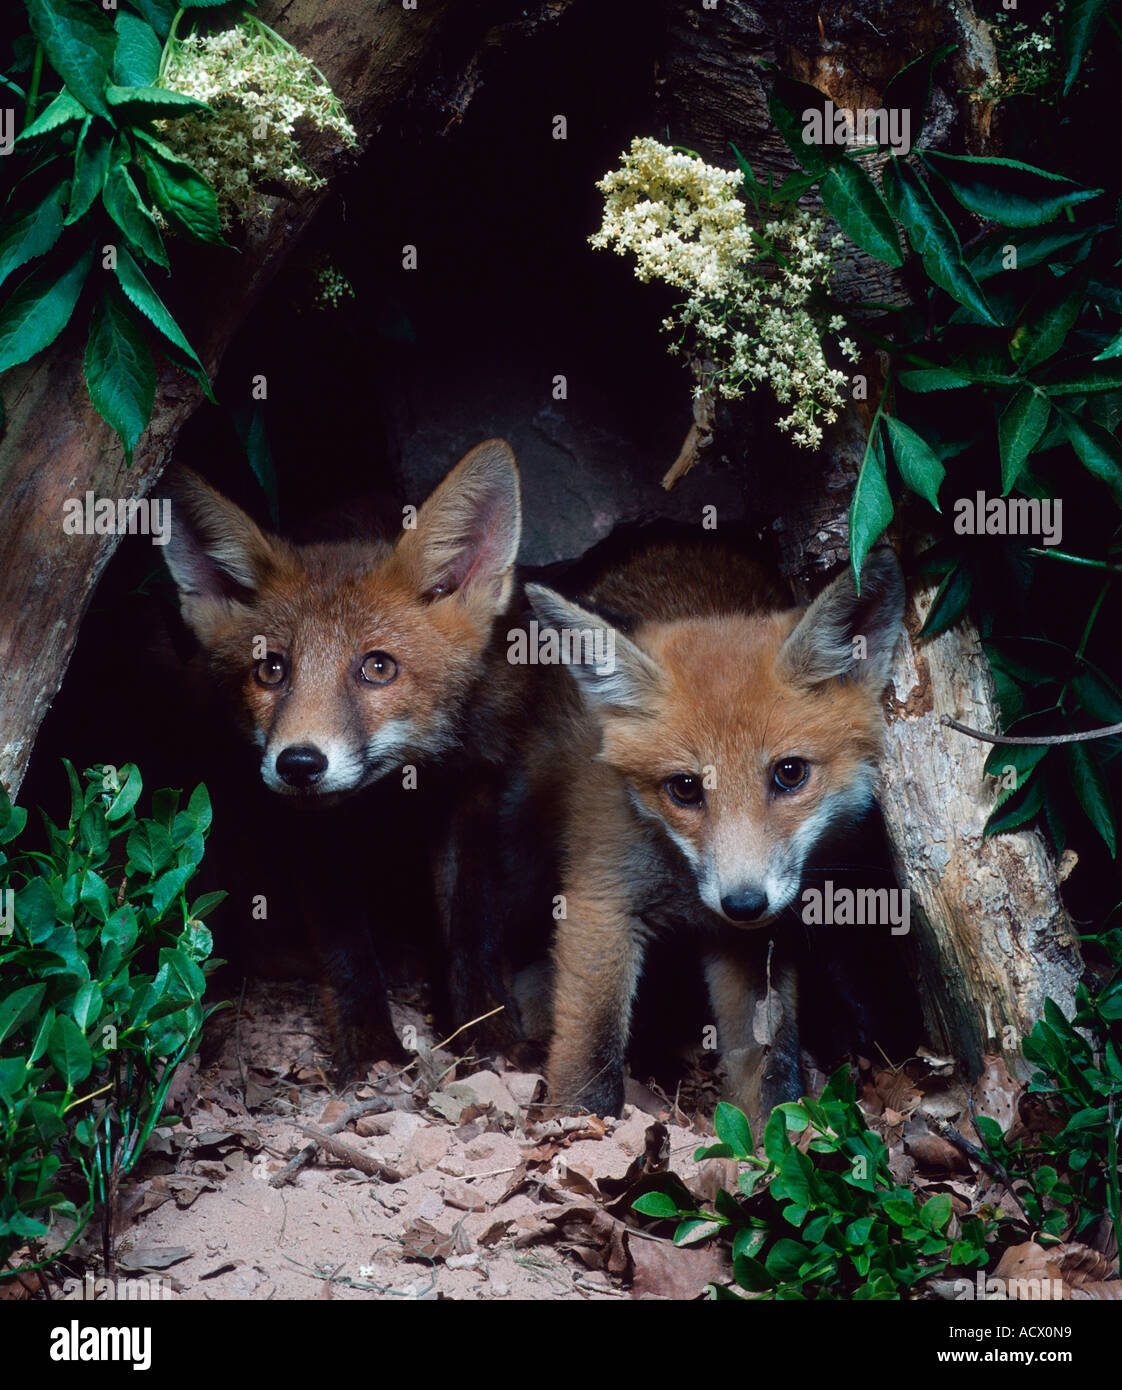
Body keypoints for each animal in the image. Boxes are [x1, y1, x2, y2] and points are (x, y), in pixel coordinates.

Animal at [161, 439, 523, 1077]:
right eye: (271, 670)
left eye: (378, 667)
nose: (299, 764)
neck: (395, 791)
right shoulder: (315, 833)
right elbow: (348, 953)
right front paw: (370, 1051)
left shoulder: (475, 790)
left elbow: (472, 930)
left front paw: (488, 1032)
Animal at [523, 539, 905, 1119]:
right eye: (684, 788)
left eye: (789, 773)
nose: (743, 902)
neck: (681, 883)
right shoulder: (601, 895)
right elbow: (591, 1052)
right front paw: (576, 1125)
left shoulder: (748, 941)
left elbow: (769, 1066)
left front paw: (781, 1134)